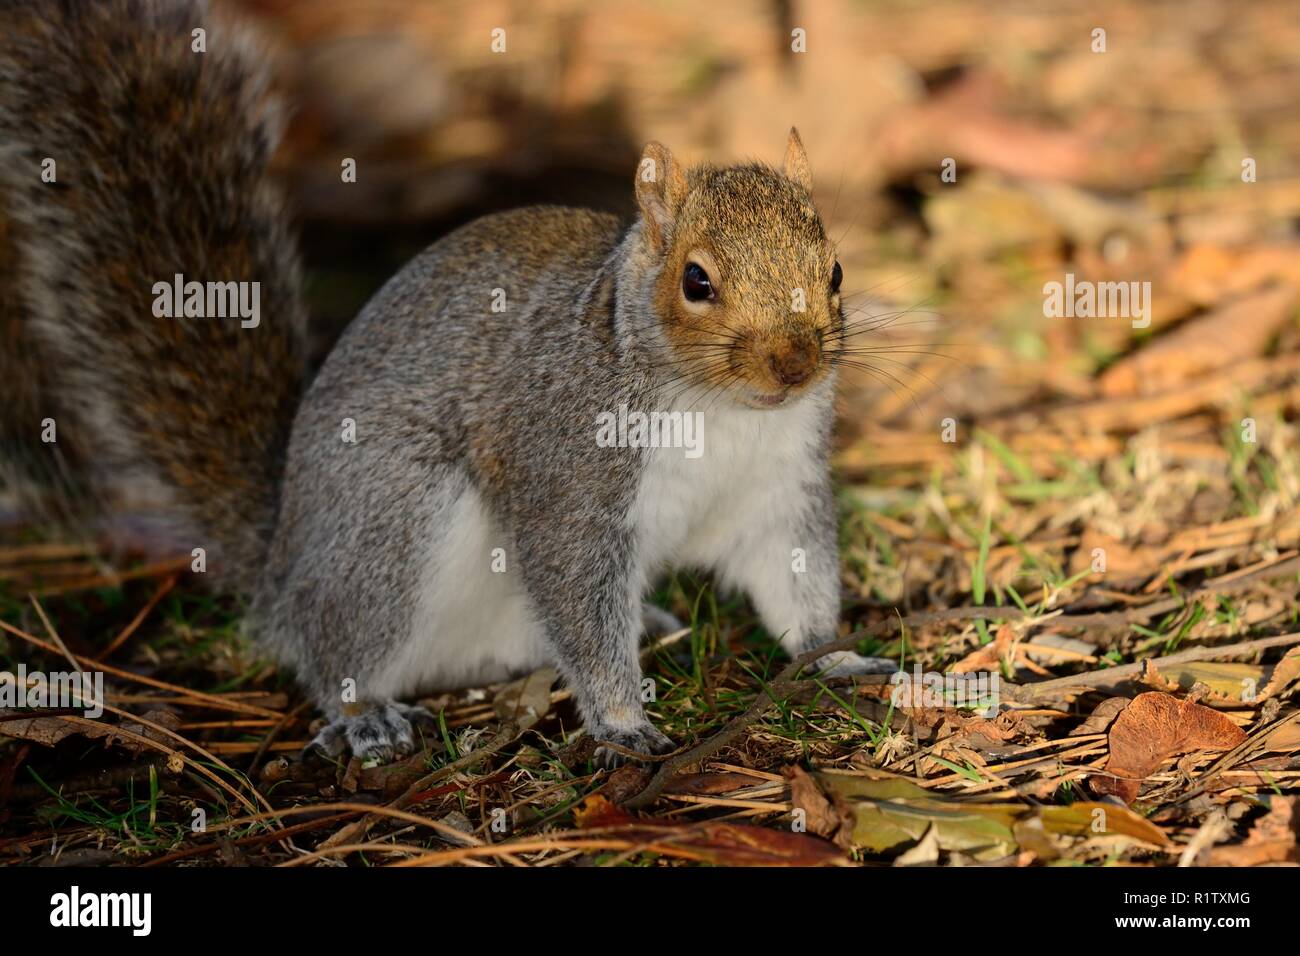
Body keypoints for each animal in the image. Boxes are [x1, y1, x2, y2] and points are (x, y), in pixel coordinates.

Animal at [1, 0, 891, 766]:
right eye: (697, 281)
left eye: (836, 272)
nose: (796, 365)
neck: (722, 410)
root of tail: (281, 565)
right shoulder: (570, 476)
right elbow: (576, 591)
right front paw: (622, 720)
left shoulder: (778, 485)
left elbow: (793, 576)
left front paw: (835, 659)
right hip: (396, 528)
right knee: (335, 648)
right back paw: (365, 715)